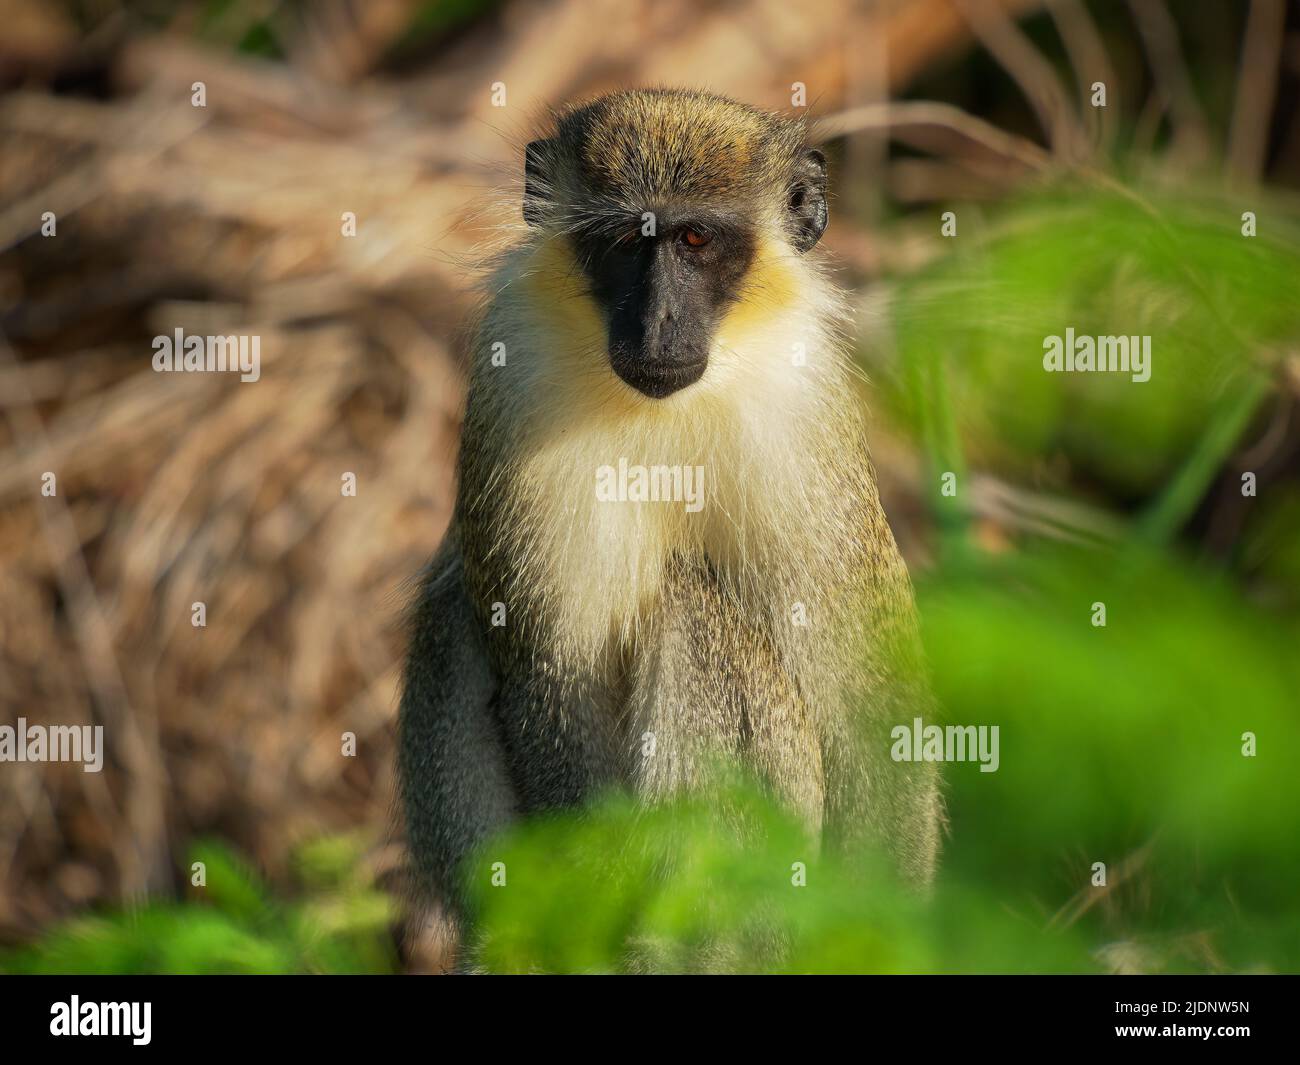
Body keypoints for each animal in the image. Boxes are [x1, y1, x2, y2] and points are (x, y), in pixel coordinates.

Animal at [399, 88, 941, 951]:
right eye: (626, 241)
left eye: (695, 239)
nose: (655, 326)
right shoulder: (514, 370)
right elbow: (549, 669)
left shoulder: (807, 415)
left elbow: (870, 704)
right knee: (455, 610)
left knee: (695, 609)